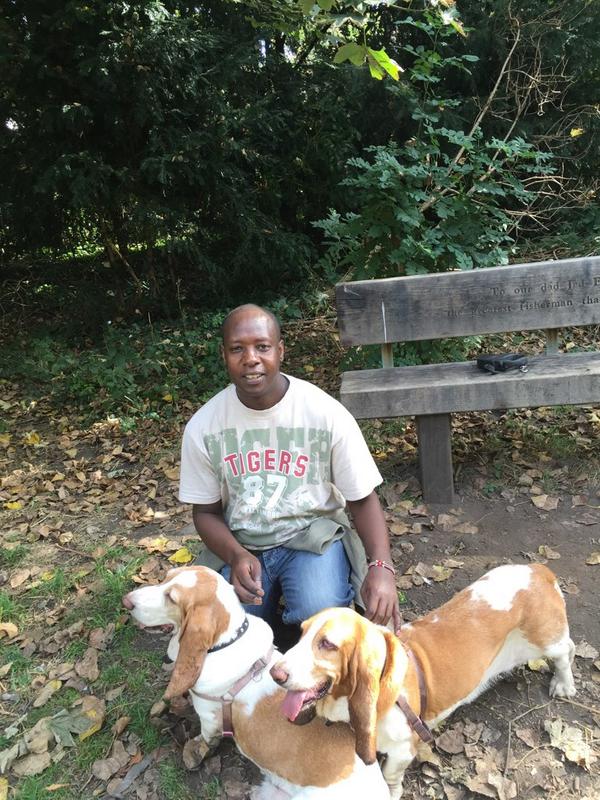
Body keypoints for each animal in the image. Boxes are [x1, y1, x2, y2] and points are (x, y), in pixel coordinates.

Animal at [122, 566, 389, 800]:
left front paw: (197, 747)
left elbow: (207, 737)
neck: (226, 643)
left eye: (171, 597)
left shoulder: (208, 718)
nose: (127, 601)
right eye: (165, 578)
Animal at [270, 563, 576, 799]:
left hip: (545, 641)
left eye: (327, 644)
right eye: (301, 634)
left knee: (566, 651)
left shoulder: (402, 750)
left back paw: (564, 684)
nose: (275, 673)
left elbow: (390, 776)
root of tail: (537, 570)